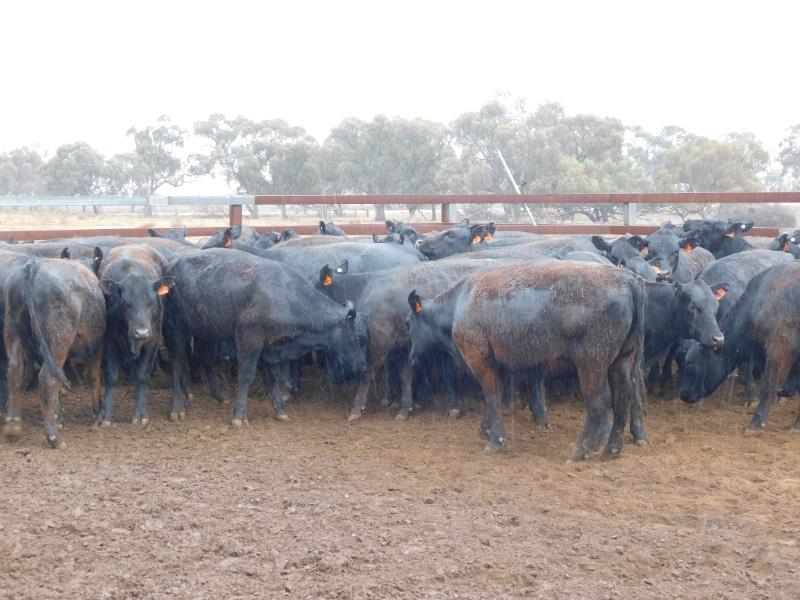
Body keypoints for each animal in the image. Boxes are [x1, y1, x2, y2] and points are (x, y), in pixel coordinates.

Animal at [3, 258, 106, 448]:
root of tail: (33, 266)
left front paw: (59, 416)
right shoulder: (97, 346)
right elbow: (94, 378)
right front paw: (98, 414)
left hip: (13, 331)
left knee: (15, 371)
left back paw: (13, 426)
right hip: (59, 340)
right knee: (47, 377)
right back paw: (54, 437)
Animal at [163, 249, 369, 425]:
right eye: (359, 337)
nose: (363, 366)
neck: (283, 296)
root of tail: (171, 264)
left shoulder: (273, 346)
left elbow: (275, 377)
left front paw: (280, 411)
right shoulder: (249, 339)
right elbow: (246, 375)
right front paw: (239, 416)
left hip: (205, 330)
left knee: (205, 358)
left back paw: (220, 396)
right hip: (175, 328)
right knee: (177, 364)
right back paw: (177, 408)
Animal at [407, 261, 647, 459]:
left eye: (409, 322)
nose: (411, 357)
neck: (460, 303)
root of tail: (627, 279)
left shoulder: (481, 361)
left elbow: (491, 396)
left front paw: (495, 439)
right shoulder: (501, 364)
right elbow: (494, 397)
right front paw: (485, 429)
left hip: (591, 364)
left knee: (599, 402)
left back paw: (580, 451)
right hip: (622, 360)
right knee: (623, 397)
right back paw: (612, 448)